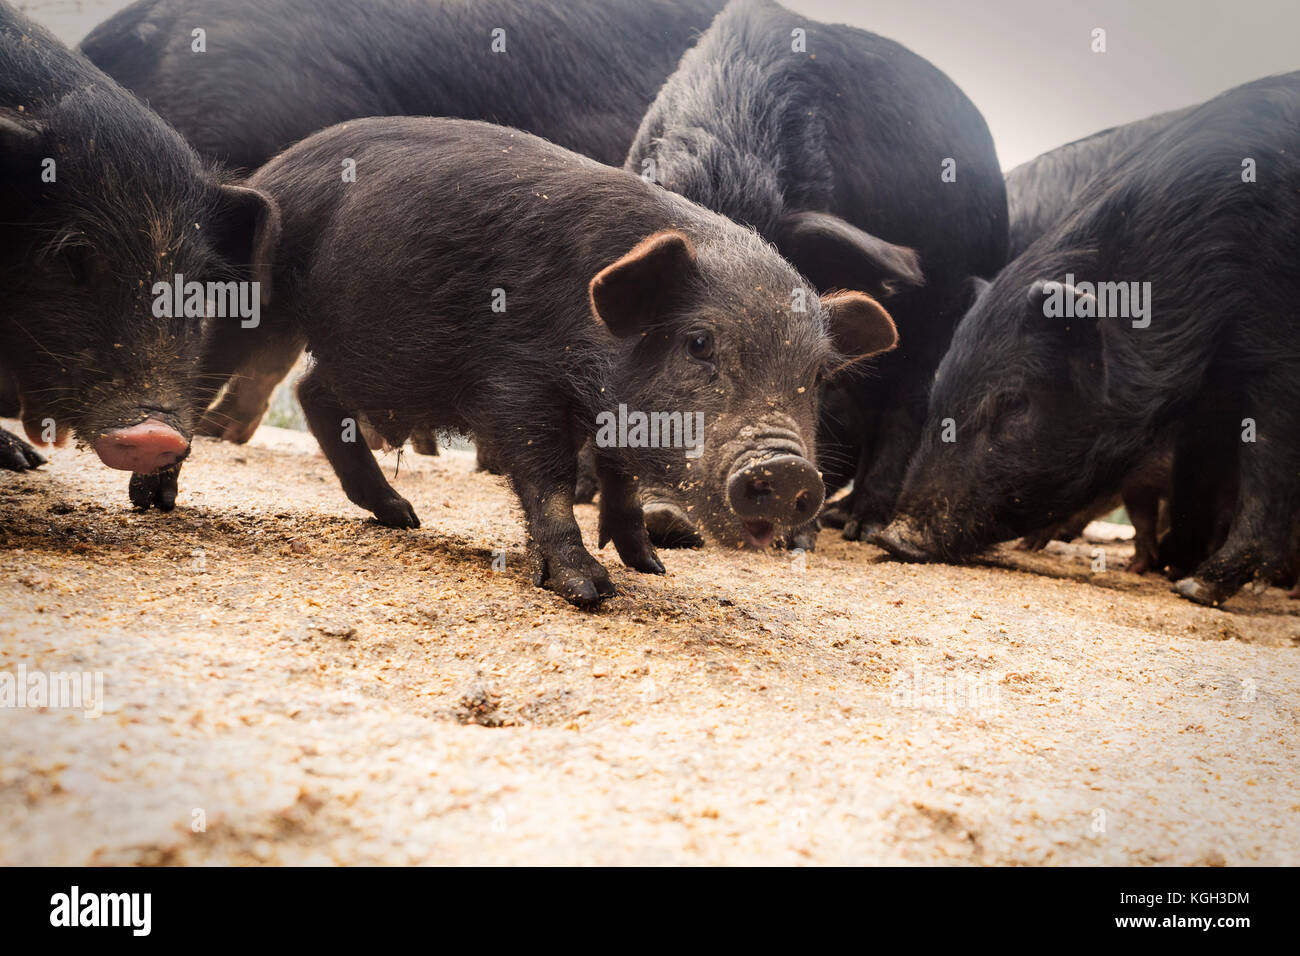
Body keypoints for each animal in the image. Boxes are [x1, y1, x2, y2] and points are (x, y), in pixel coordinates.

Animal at [239, 115, 899, 600]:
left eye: (817, 374)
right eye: (699, 342)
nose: (789, 469)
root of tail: (276, 168)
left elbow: (621, 477)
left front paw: (653, 568)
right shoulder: (514, 381)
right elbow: (549, 478)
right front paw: (589, 591)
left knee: (312, 392)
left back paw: (401, 516)